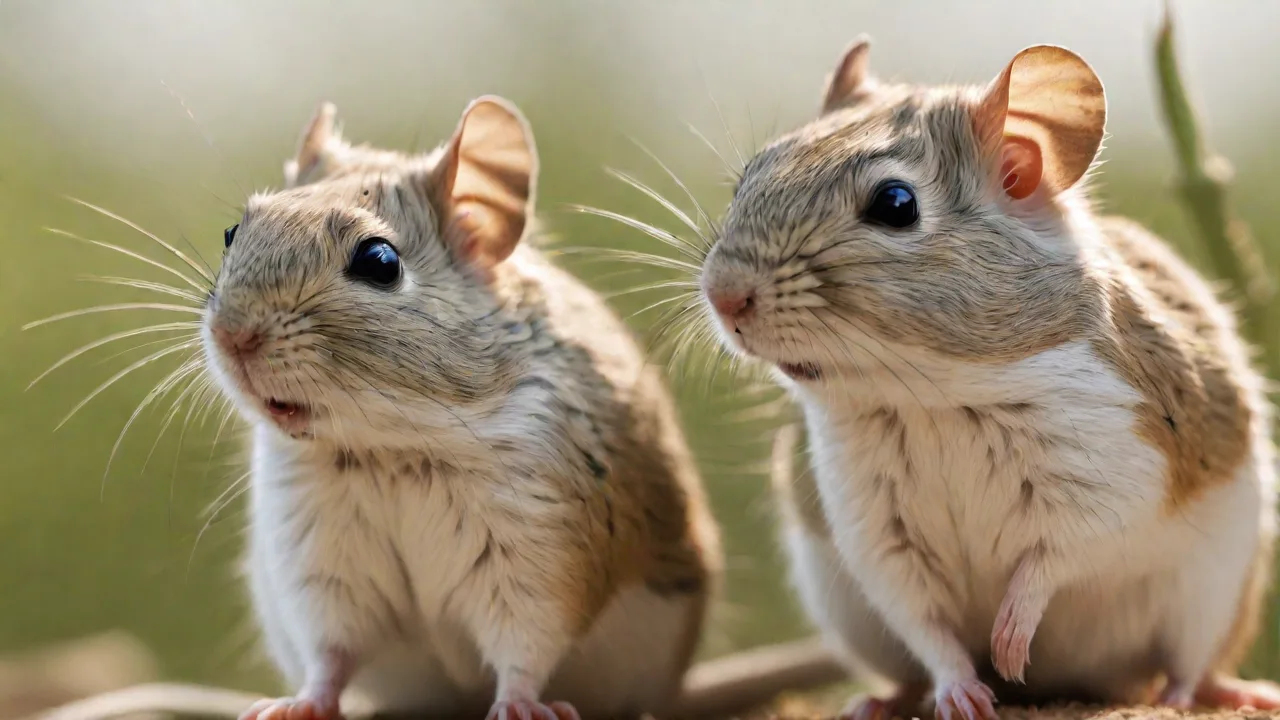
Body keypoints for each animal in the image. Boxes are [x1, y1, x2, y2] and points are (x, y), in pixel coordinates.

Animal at [204, 96, 730, 720]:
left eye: (380, 261)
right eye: (234, 231)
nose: (232, 336)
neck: (394, 445)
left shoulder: (539, 559)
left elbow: (524, 654)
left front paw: (522, 710)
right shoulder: (321, 567)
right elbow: (331, 657)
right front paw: (294, 706)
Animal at [698, 38, 1279, 720]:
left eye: (895, 205)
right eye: (751, 173)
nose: (723, 295)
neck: (930, 395)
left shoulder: (1111, 478)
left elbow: (1048, 565)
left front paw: (1007, 648)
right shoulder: (874, 532)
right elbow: (924, 623)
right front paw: (964, 692)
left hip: (1213, 592)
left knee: (1193, 660)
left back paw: (1197, 692)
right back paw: (882, 700)